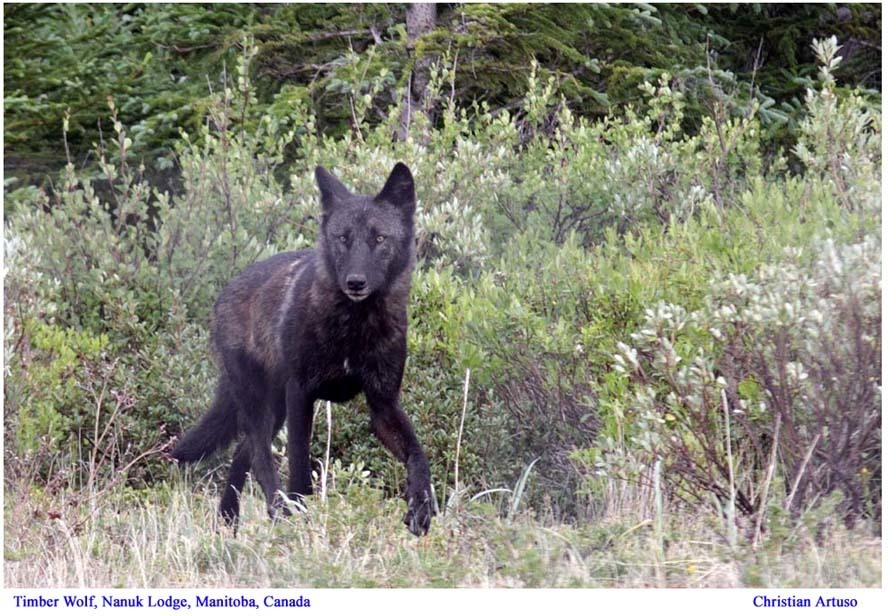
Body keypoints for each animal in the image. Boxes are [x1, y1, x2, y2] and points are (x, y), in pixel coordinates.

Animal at [171, 162, 433, 536]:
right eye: (342, 238)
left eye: (379, 239)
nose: (355, 282)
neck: (354, 329)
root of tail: (228, 288)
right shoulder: (301, 394)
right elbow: (298, 469)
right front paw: (302, 522)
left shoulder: (383, 404)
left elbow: (418, 455)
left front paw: (421, 508)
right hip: (262, 405)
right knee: (261, 459)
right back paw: (277, 513)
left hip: (274, 410)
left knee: (242, 454)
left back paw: (229, 522)